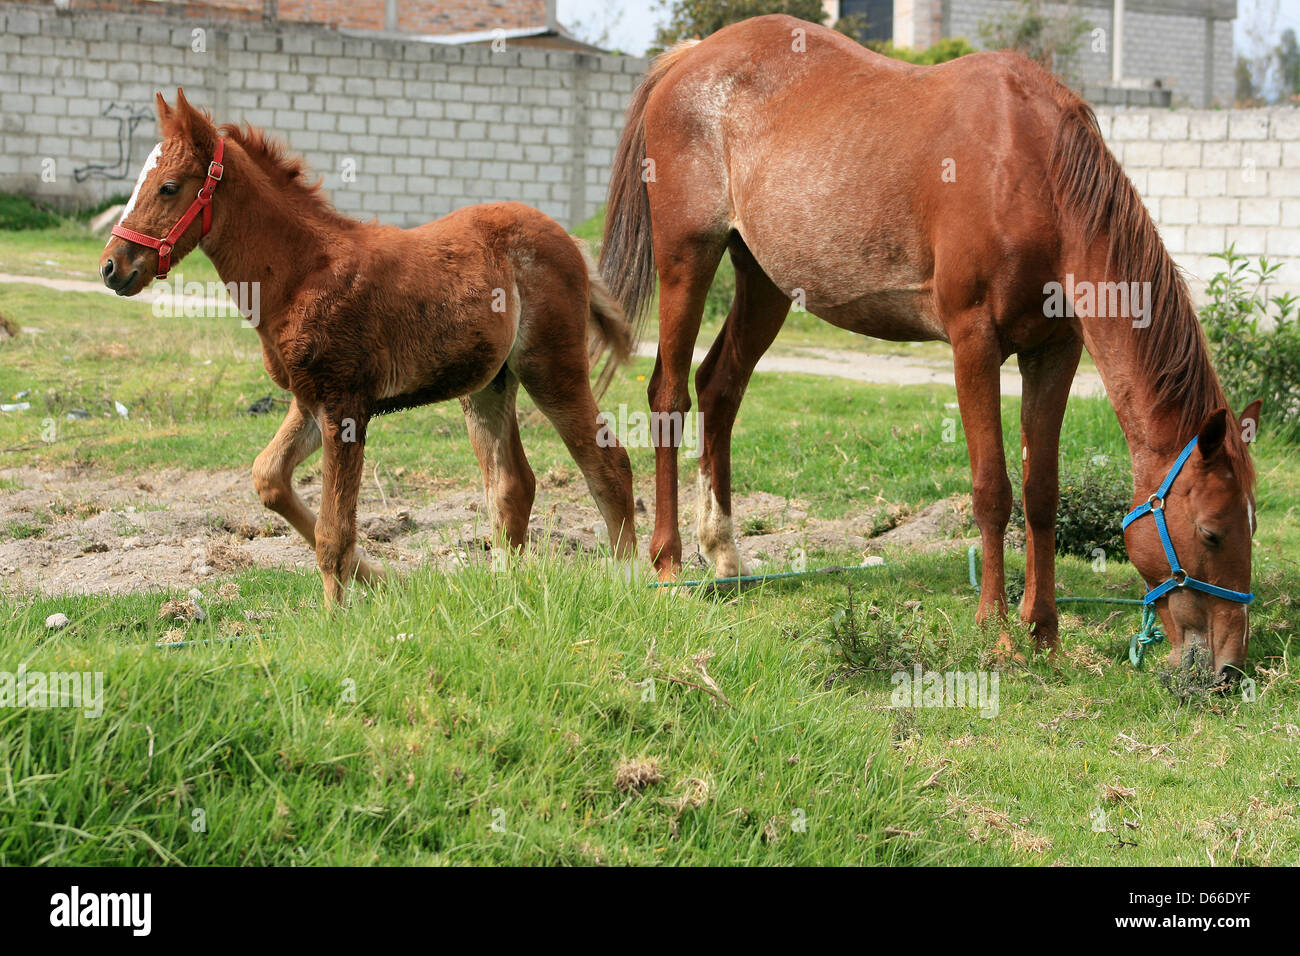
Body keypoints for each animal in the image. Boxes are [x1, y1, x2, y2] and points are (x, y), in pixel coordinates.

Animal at [101, 90, 637, 604]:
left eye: (170, 187)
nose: (111, 266)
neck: (301, 274)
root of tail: (570, 241)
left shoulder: (345, 404)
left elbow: (333, 533)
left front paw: (336, 619)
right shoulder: (309, 401)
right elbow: (269, 479)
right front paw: (385, 580)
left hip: (552, 367)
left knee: (608, 463)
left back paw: (633, 581)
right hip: (488, 384)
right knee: (512, 485)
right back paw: (506, 592)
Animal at [599, 15, 1262, 680]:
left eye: (1252, 526)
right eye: (1210, 532)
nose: (1228, 668)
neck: (1033, 174)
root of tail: (691, 57)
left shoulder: (1054, 353)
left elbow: (1041, 493)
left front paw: (1044, 633)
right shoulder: (974, 343)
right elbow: (993, 490)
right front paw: (997, 632)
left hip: (765, 283)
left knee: (719, 389)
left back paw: (726, 559)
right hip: (686, 260)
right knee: (669, 396)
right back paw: (669, 563)